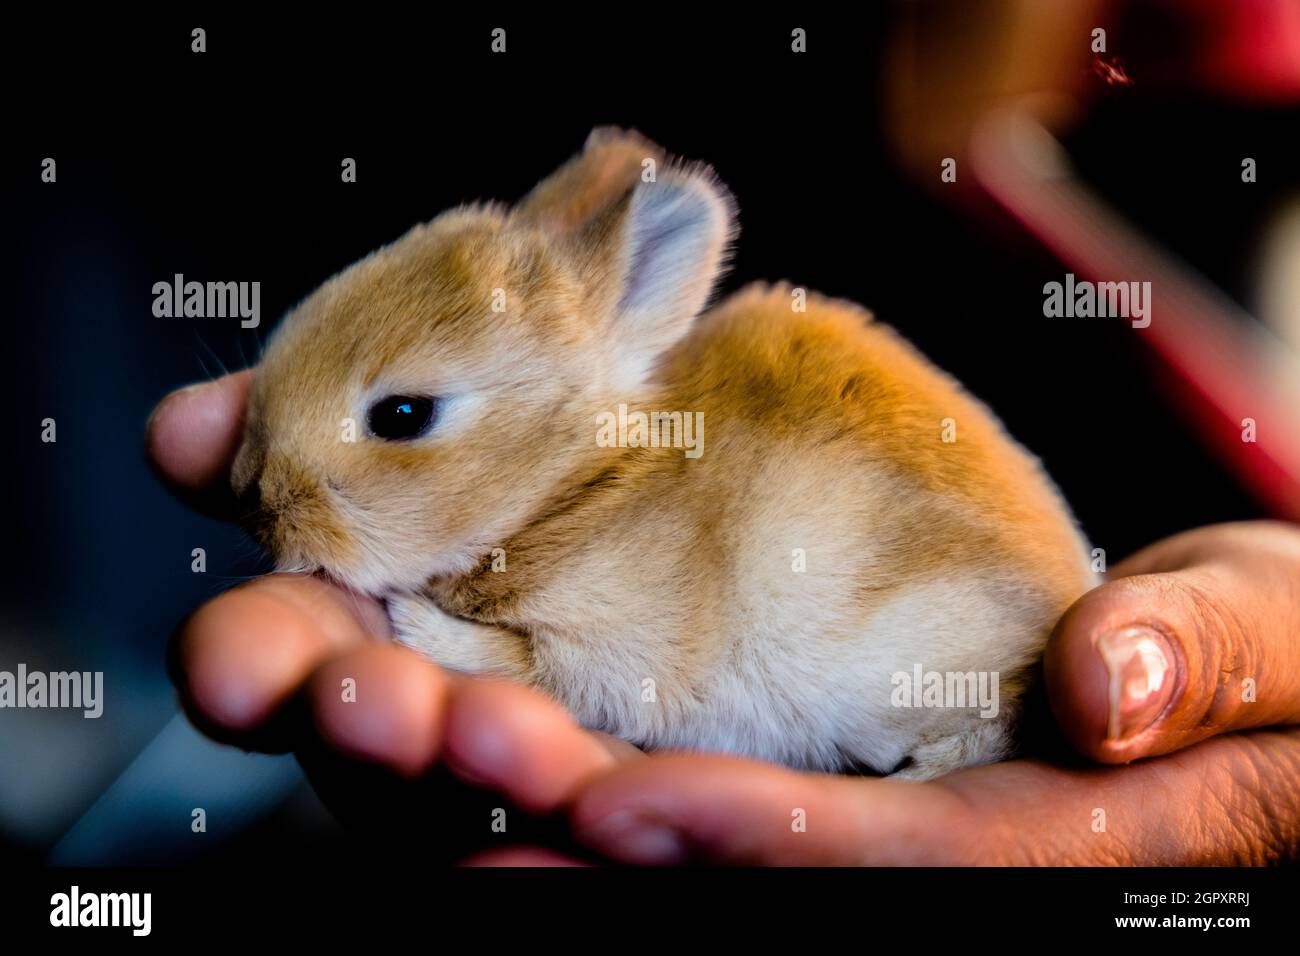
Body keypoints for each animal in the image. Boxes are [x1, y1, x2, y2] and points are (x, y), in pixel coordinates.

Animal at [233, 127, 1098, 780]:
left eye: (403, 415)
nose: (255, 499)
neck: (578, 484)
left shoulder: (615, 659)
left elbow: (532, 668)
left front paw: (416, 625)